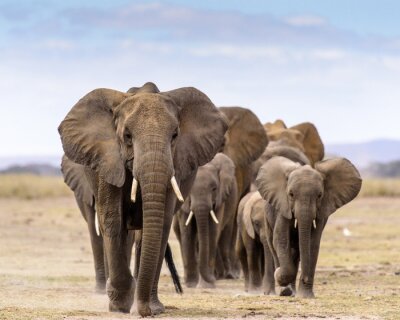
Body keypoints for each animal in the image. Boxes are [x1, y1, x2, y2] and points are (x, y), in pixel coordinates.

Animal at [173, 152, 238, 288]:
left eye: (214, 189)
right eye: (189, 189)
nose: (213, 279)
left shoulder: (219, 199)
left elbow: (212, 231)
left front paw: (207, 285)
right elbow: (187, 233)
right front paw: (191, 285)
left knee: (226, 231)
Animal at [256, 156, 362, 298]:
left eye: (320, 195)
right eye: (291, 194)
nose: (305, 279)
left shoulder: (322, 210)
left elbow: (313, 243)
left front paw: (305, 296)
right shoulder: (282, 206)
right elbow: (281, 239)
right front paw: (279, 276)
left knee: (297, 253)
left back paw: (292, 291)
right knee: (274, 246)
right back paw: (285, 290)